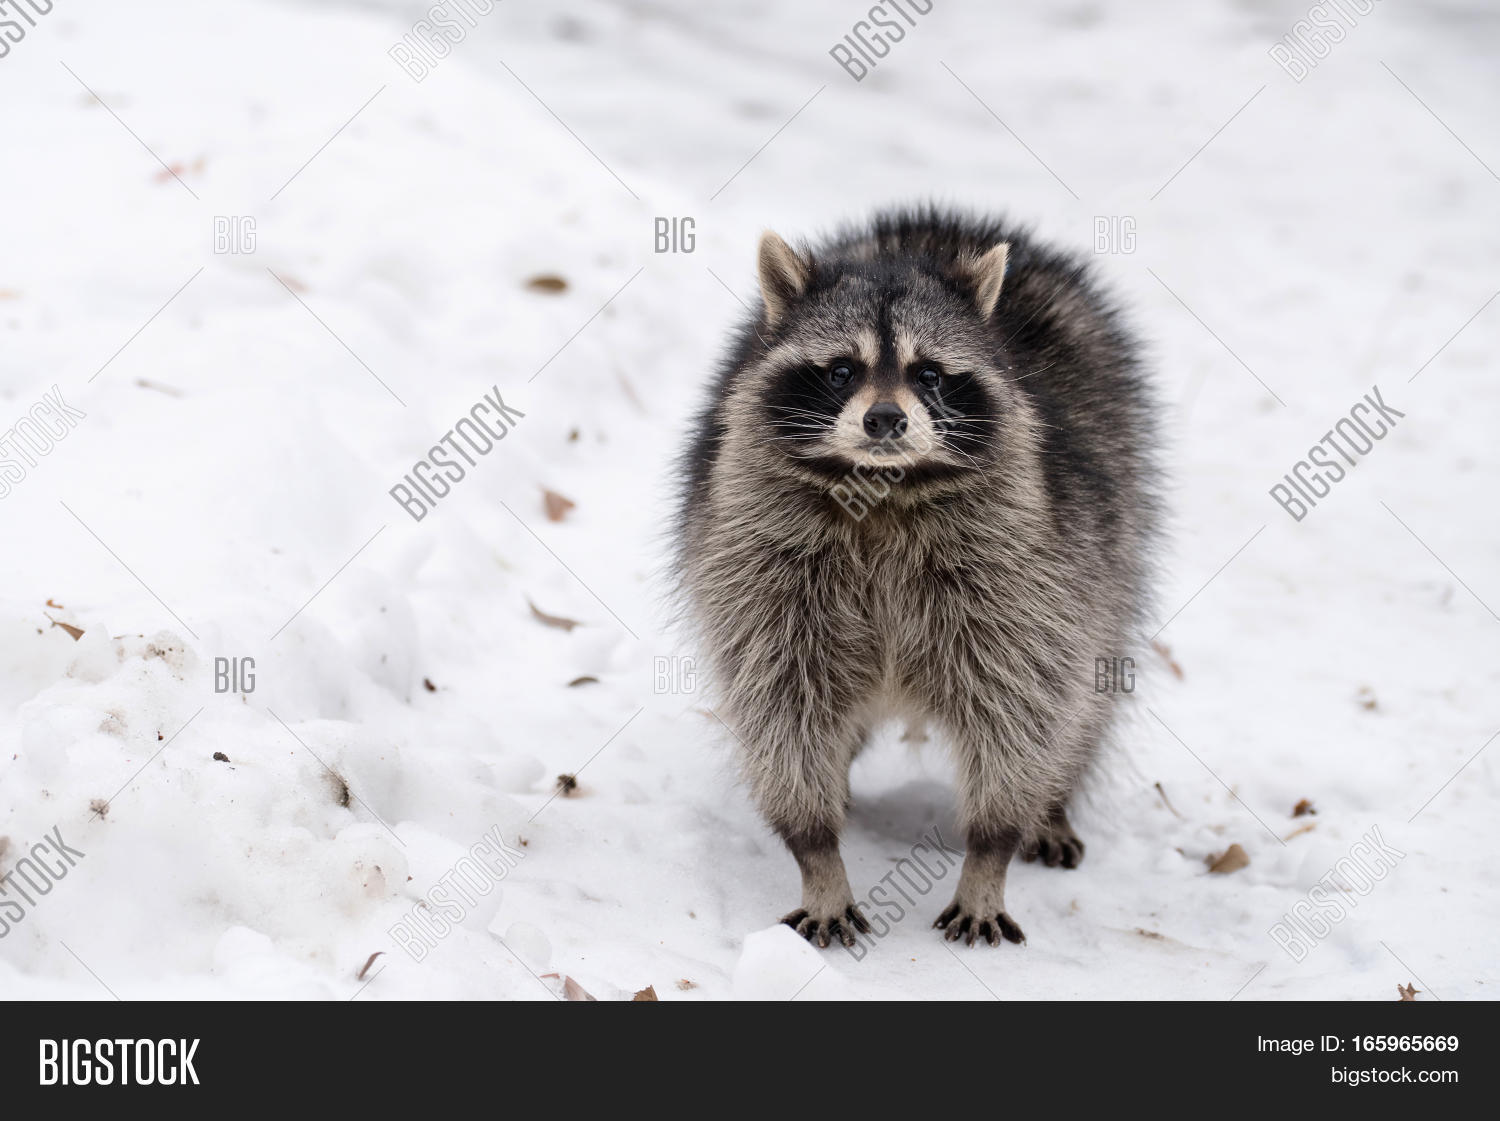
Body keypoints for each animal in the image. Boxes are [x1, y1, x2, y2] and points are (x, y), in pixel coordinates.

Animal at [674, 207, 1160, 949]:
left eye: (928, 373)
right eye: (841, 370)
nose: (885, 418)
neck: (880, 489)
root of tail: (939, 219)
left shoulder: (1028, 572)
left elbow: (1023, 707)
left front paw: (990, 851)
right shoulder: (759, 563)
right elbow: (783, 702)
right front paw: (817, 853)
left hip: (1112, 540)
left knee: (1087, 693)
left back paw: (1053, 801)